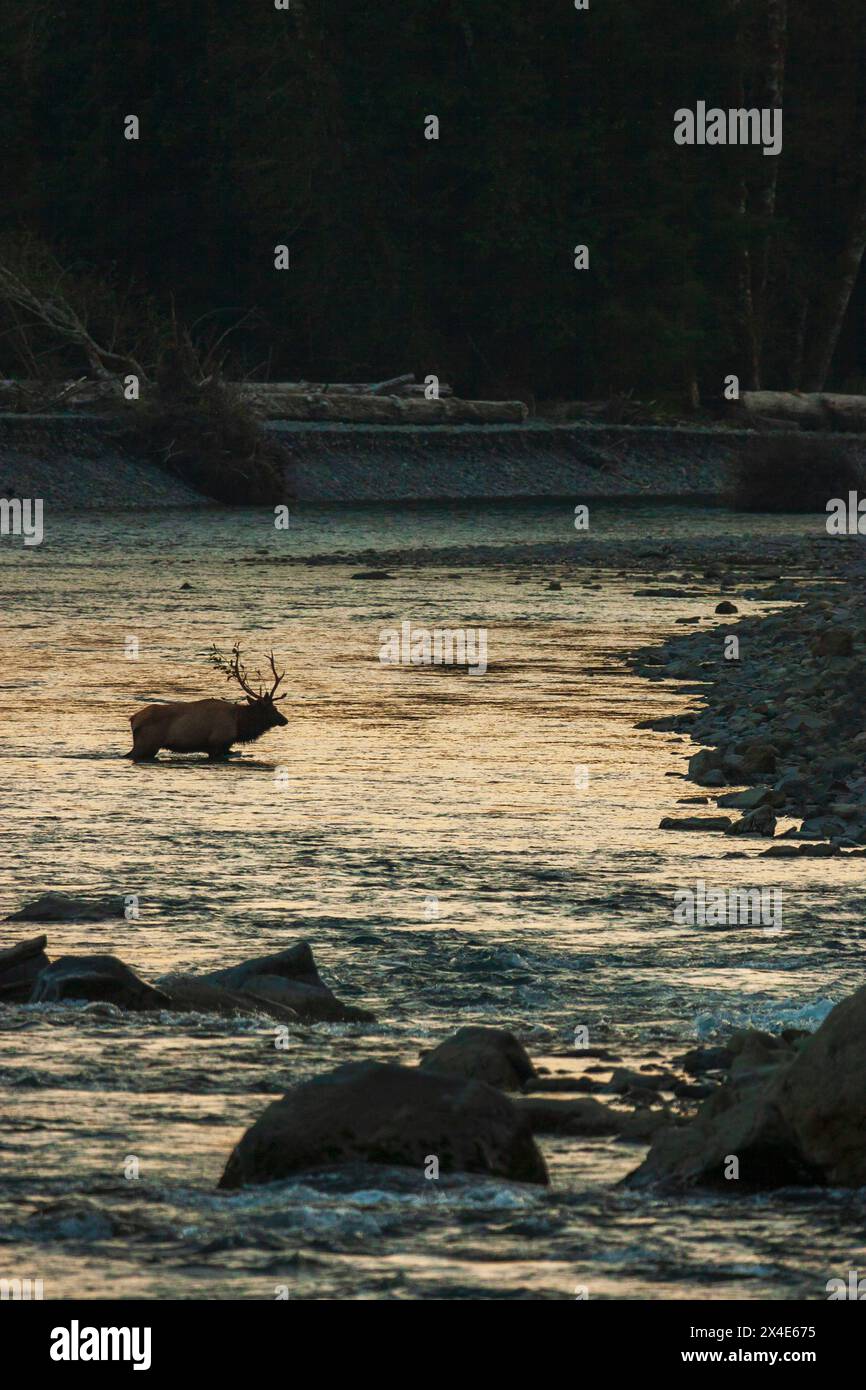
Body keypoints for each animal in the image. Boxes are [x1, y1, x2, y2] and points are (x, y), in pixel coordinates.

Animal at [126, 644, 289, 761]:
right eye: (272, 708)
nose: (285, 720)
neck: (239, 724)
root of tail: (133, 719)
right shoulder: (218, 743)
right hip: (147, 744)